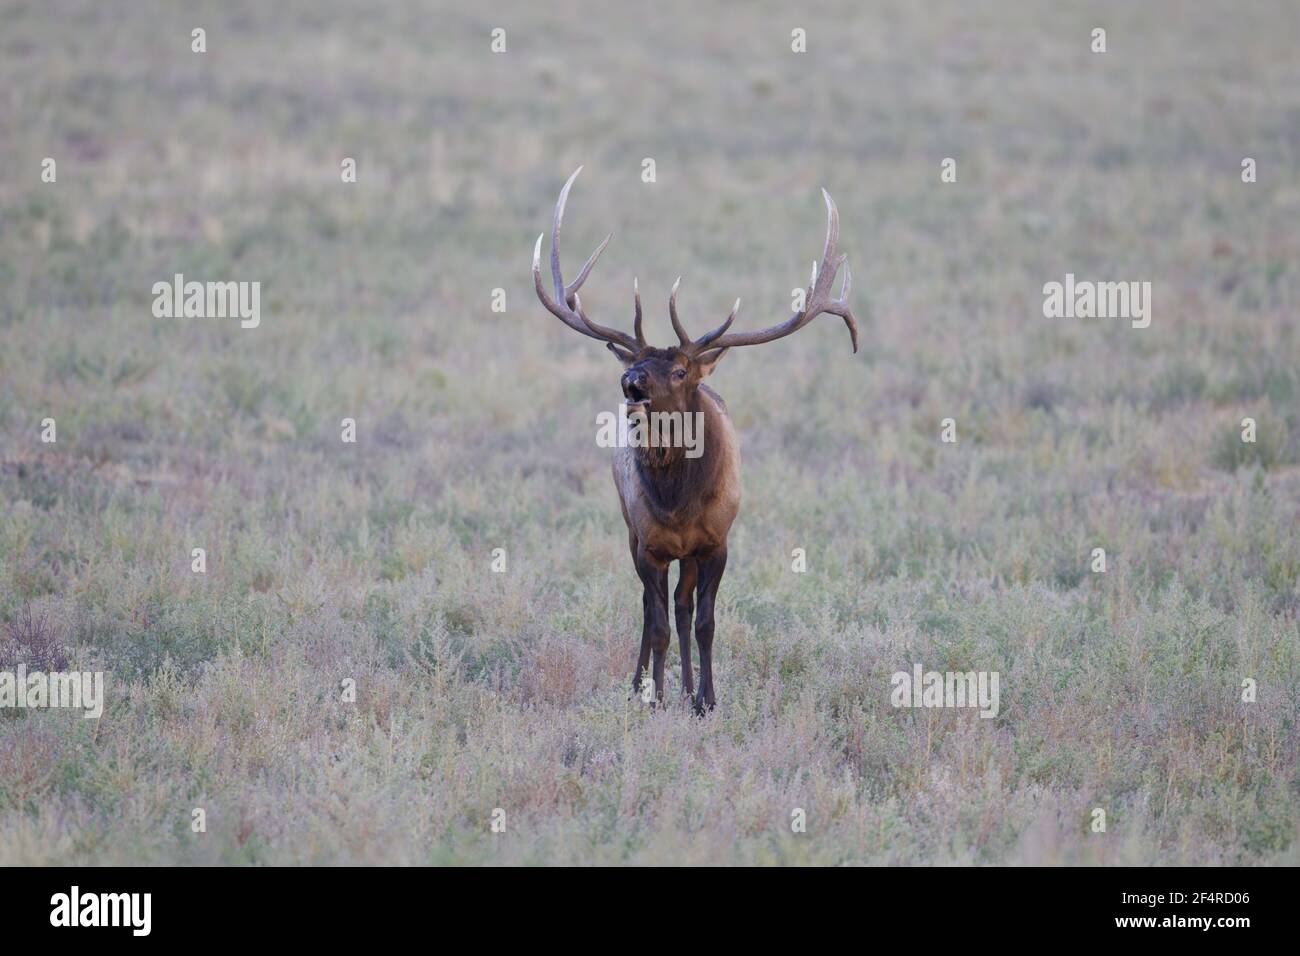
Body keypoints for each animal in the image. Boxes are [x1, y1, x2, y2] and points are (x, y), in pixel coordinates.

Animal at [532, 168, 858, 714]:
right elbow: (658, 621)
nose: (631, 382)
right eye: (639, 362)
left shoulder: (717, 542)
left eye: (680, 369)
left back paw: (687, 687)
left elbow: (704, 622)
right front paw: (655, 697)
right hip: (631, 530)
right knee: (652, 608)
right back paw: (644, 683)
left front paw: (706, 699)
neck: (679, 503)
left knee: (683, 608)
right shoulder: (648, 543)